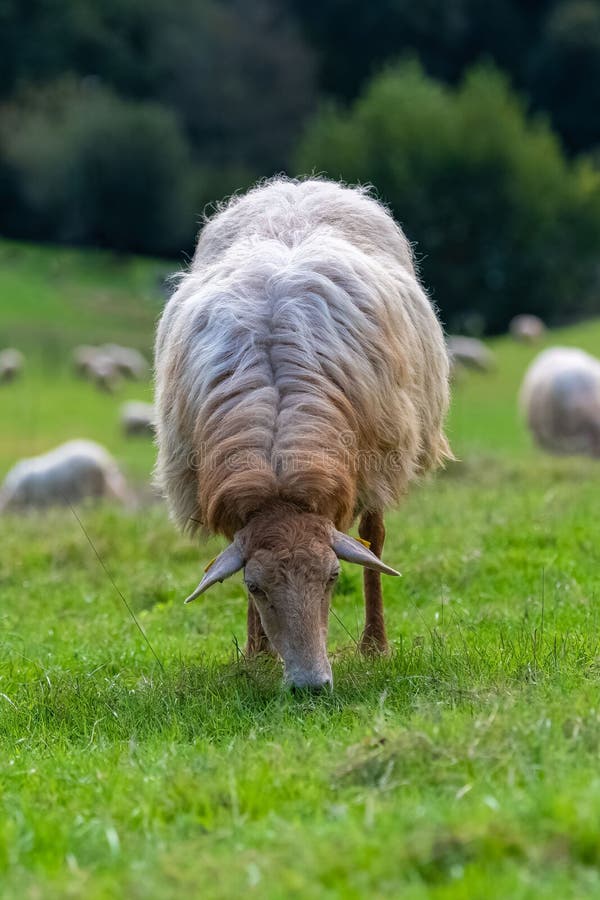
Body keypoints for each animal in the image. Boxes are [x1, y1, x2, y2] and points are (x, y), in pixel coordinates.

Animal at [155, 177, 451, 690]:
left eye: (333, 577)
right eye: (254, 586)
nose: (310, 685)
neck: (278, 472)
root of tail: (295, 186)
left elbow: (371, 543)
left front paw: (374, 649)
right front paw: (256, 654)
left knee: (373, 535)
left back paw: (374, 644)